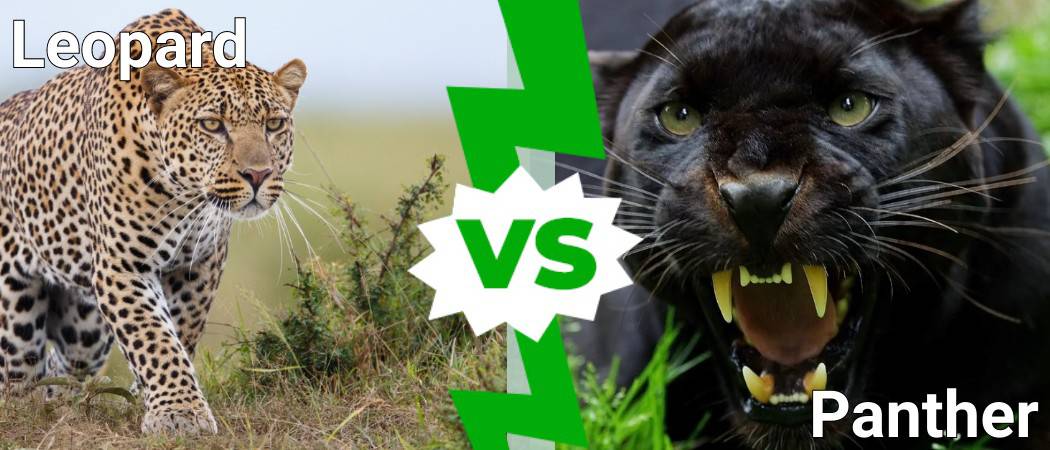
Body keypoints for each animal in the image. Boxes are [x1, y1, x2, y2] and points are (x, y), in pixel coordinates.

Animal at [0, 9, 306, 435]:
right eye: (212, 125)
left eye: (274, 124)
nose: (258, 174)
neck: (185, 196)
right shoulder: (123, 266)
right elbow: (153, 336)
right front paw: (179, 413)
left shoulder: (199, 265)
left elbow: (179, 333)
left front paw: (151, 400)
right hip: (15, 319)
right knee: (18, 377)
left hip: (84, 328)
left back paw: (64, 405)